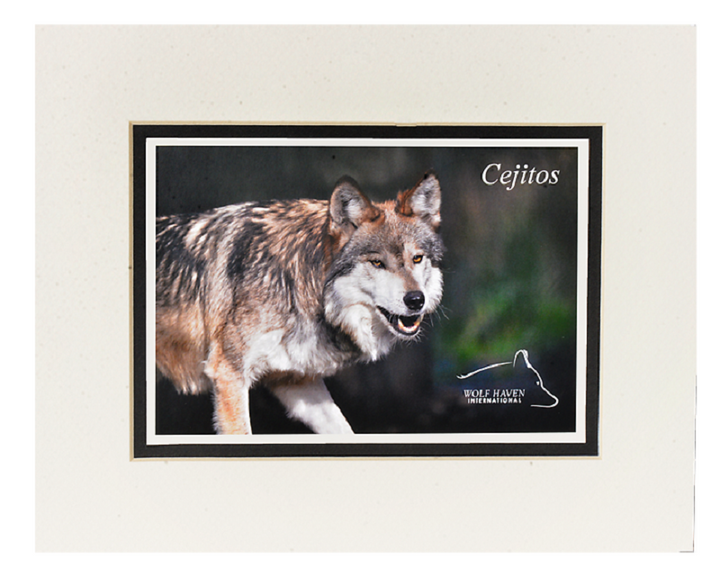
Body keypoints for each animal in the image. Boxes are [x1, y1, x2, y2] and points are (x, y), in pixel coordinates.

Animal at [155, 171, 444, 434]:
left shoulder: (296, 382)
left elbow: (344, 429)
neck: (295, 282)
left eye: (417, 258)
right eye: (377, 262)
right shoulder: (228, 374)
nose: (416, 300)